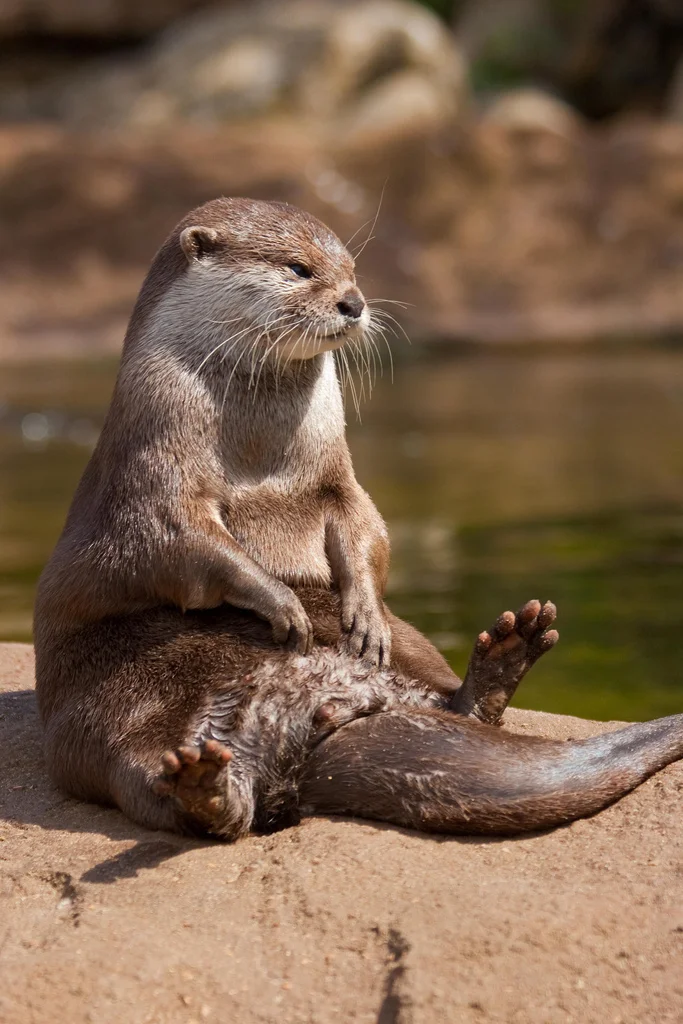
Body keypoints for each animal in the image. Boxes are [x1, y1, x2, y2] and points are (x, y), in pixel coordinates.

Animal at [34, 198, 683, 840]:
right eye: (298, 269)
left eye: (352, 270)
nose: (354, 302)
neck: (258, 456)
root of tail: (314, 716)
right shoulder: (154, 472)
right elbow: (183, 544)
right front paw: (279, 601)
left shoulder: (336, 478)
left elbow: (365, 527)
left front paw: (363, 611)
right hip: (116, 713)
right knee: (166, 787)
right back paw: (204, 785)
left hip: (411, 642)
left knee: (450, 701)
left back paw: (501, 660)